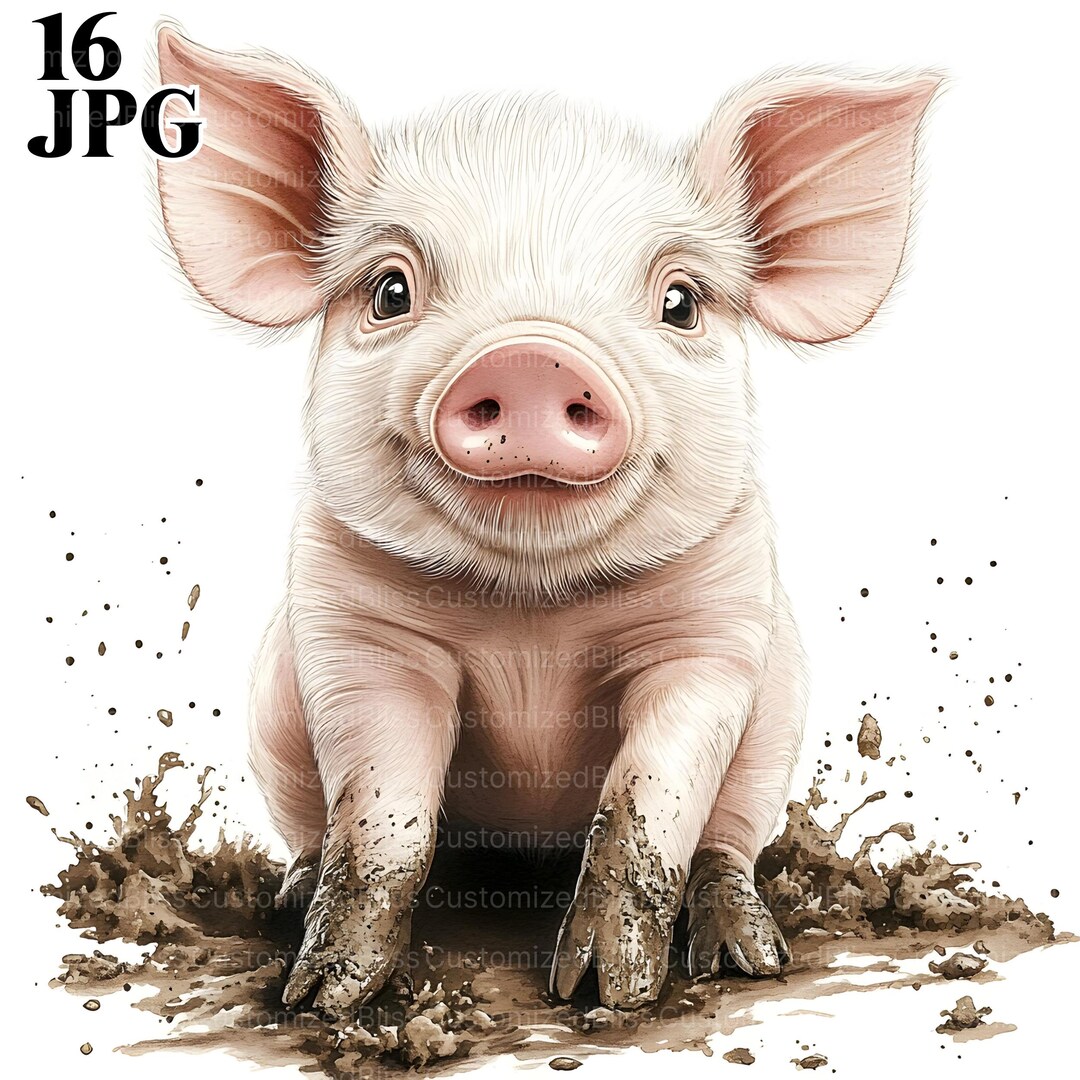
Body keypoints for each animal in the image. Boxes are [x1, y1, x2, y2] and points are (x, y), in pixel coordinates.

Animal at [155, 27, 939, 1018]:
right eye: (389, 292)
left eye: (681, 300)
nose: (531, 356)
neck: (532, 611)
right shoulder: (356, 633)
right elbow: (382, 820)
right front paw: (321, 1000)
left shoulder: (713, 635)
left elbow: (648, 803)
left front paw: (608, 995)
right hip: (272, 713)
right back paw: (290, 898)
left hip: (779, 722)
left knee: (727, 840)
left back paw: (750, 955)